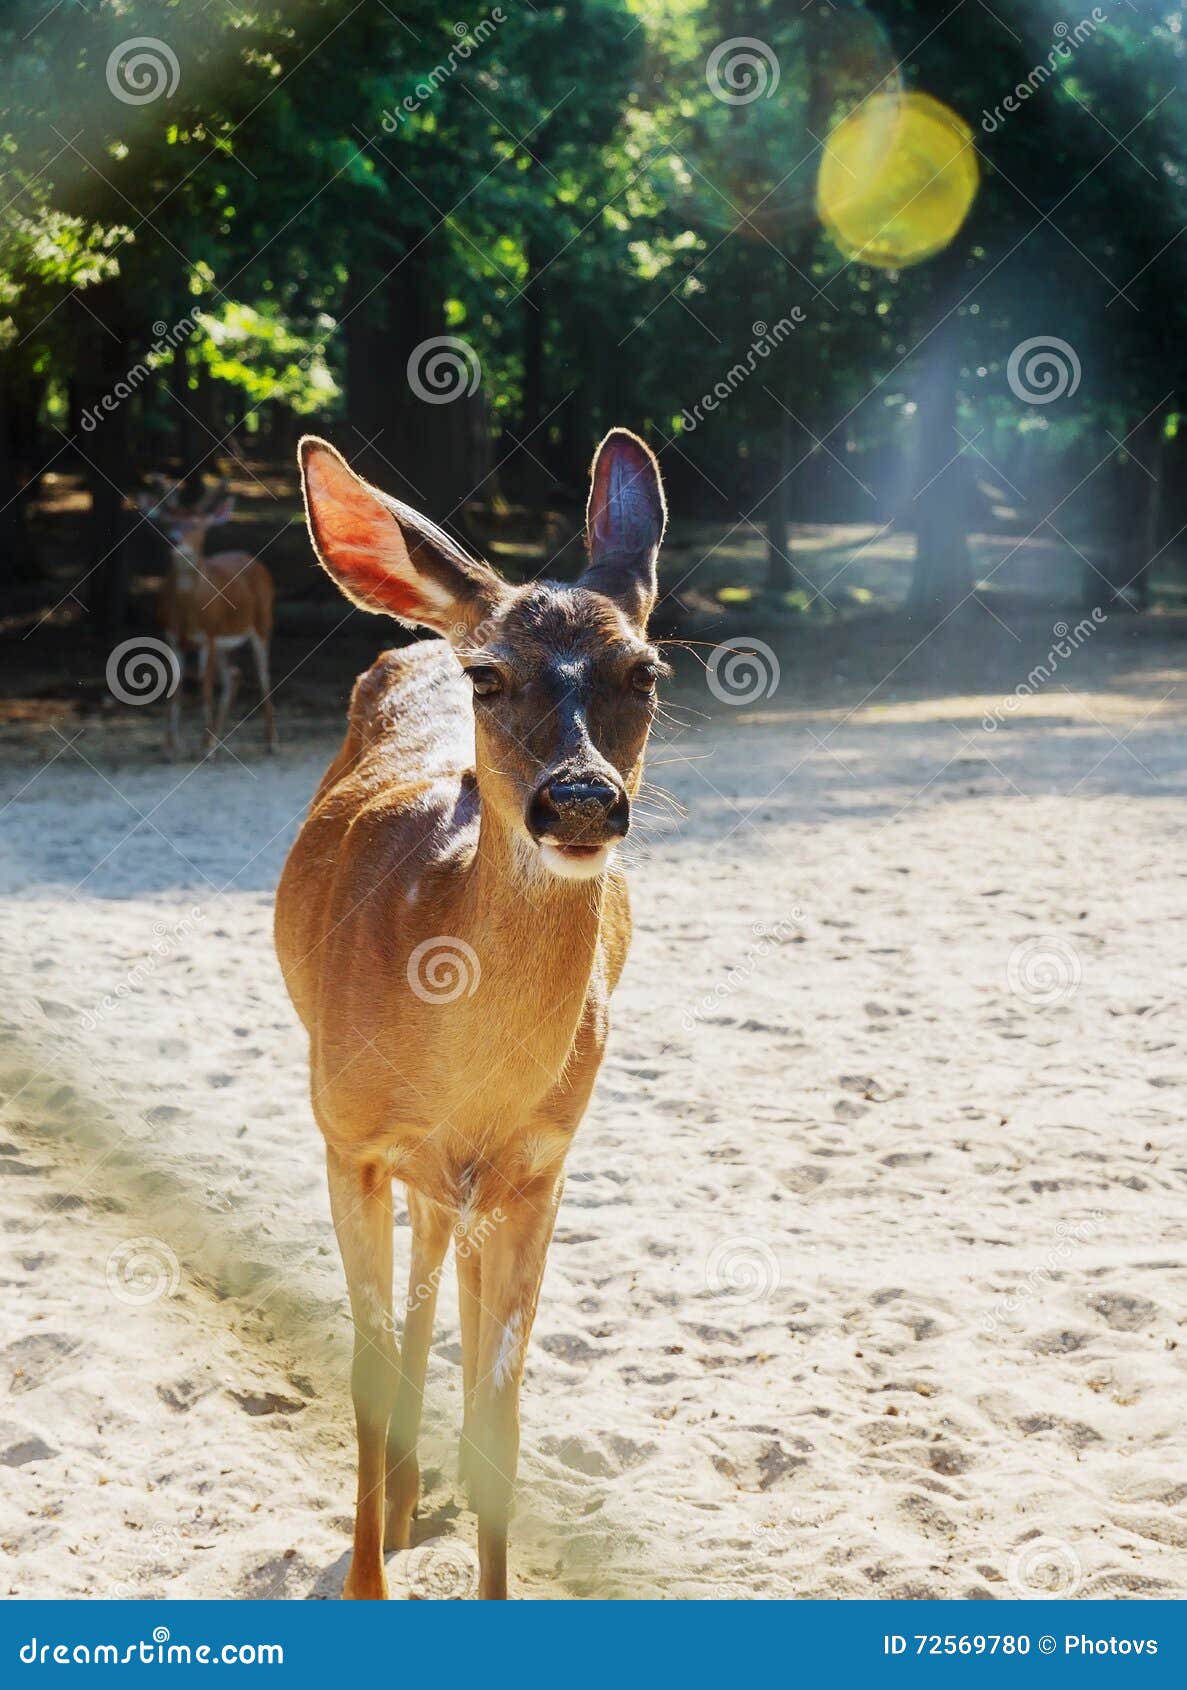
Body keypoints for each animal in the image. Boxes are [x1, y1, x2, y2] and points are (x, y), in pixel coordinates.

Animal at [136, 472, 277, 758]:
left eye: (197, 525)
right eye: (169, 521)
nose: (174, 538)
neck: (188, 612)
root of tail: (254, 560)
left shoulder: (209, 634)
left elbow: (205, 687)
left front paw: (202, 747)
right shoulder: (172, 637)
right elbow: (174, 687)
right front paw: (171, 747)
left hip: (262, 622)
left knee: (263, 675)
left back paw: (269, 742)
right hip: (225, 642)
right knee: (234, 674)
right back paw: (216, 739)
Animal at [273, 428, 668, 1600]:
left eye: (646, 668)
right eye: (488, 676)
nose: (579, 799)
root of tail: (419, 636)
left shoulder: (544, 1158)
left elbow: (505, 1411)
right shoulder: (346, 1133)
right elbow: (362, 1370)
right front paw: (366, 1579)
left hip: (484, 1175)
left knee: (446, 1261)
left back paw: (423, 1483)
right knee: (423, 1268)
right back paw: (401, 1498)